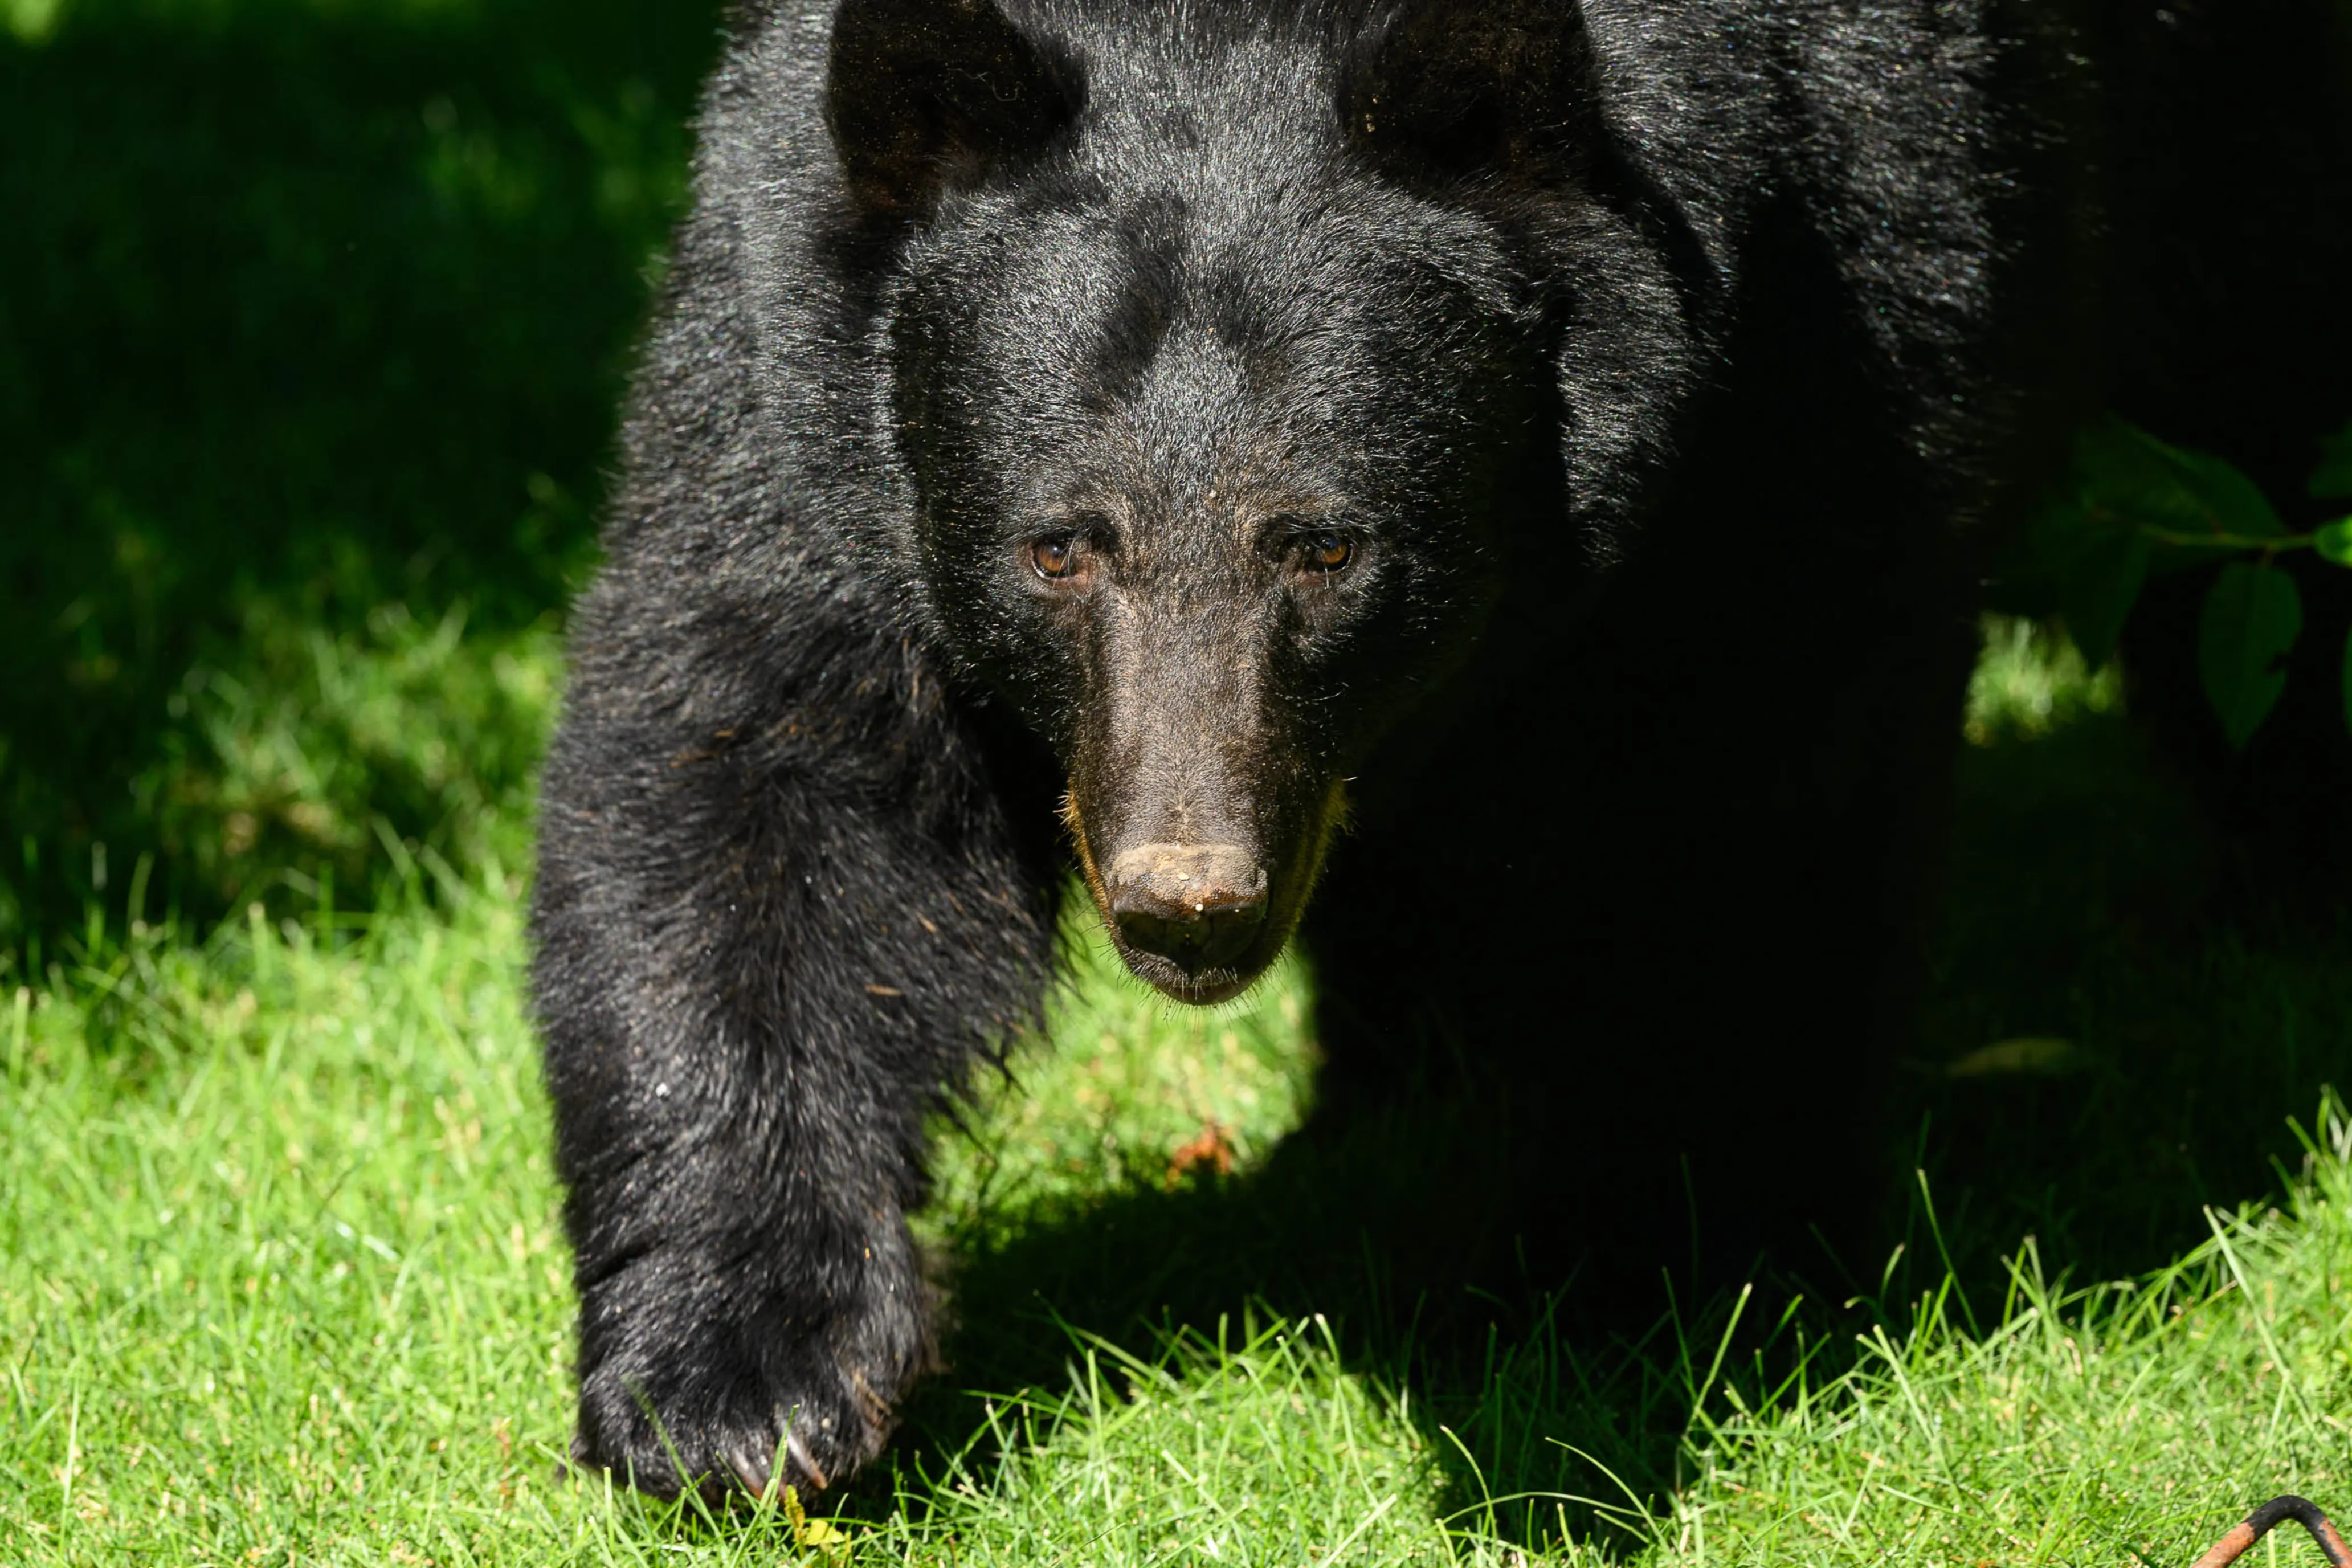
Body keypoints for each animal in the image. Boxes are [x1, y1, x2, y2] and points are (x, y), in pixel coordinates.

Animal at [530, 0, 2349, 1502]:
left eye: (1323, 545)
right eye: (1056, 547)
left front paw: (1629, 1281)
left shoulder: (1811, 309)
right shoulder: (794, 335)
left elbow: (1741, 785)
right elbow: (767, 766)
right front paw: (742, 1381)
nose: (1186, 899)